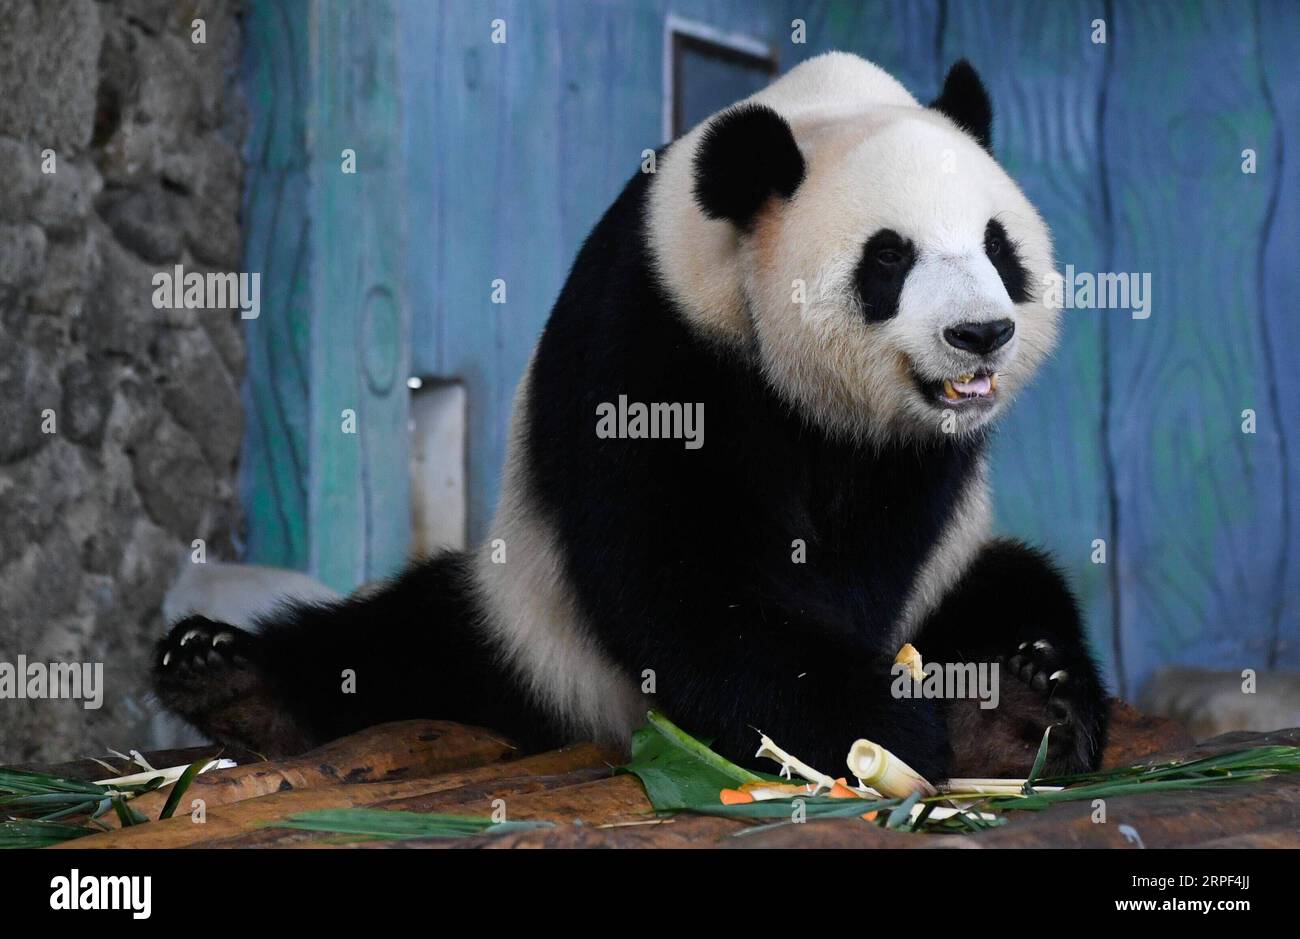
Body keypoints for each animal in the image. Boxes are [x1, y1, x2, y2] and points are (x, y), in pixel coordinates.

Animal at [155, 53, 1108, 781]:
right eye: (889, 259)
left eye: (997, 247)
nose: (979, 333)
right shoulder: (657, 327)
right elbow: (681, 573)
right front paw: (872, 724)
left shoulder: (922, 467)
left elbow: (881, 557)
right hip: (530, 631)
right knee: (399, 647)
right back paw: (231, 681)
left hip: (959, 576)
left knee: (1019, 584)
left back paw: (1025, 707)